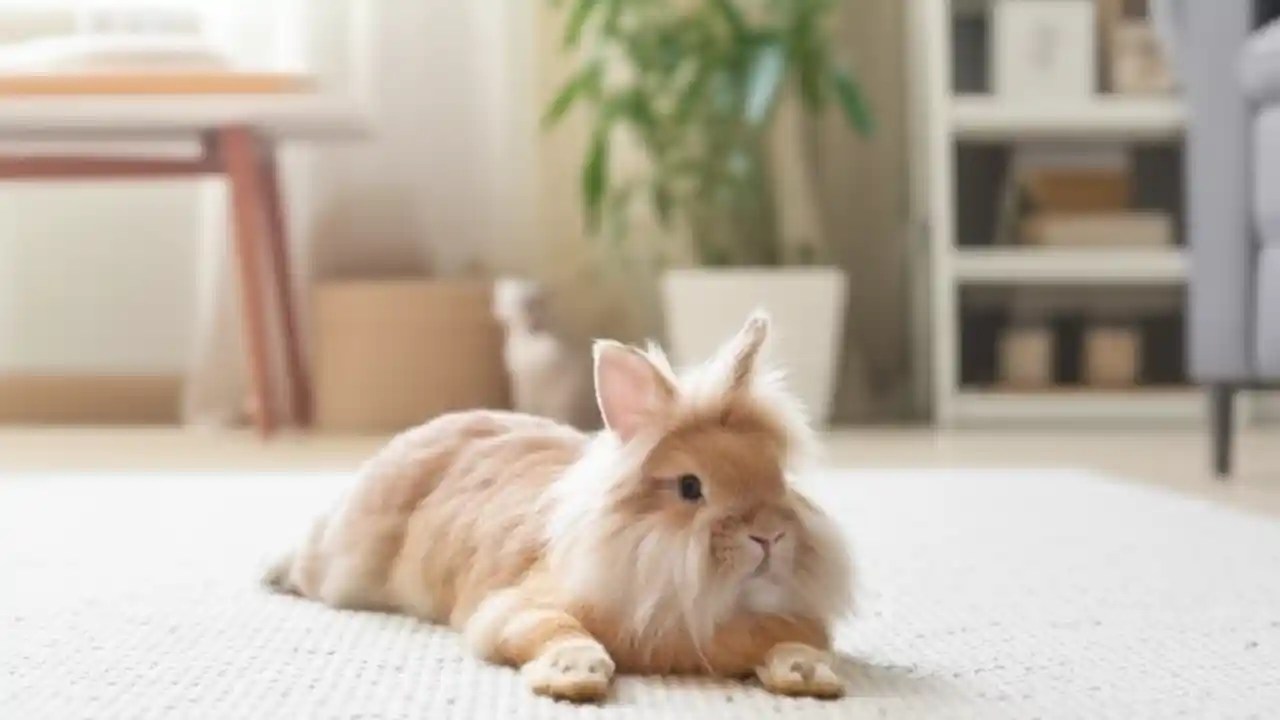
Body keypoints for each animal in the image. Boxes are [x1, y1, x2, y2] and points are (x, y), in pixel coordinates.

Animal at [263, 313, 854, 702]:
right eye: (690, 488)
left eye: (778, 476)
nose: (770, 536)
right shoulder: (520, 609)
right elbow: (557, 630)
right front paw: (575, 675)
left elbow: (791, 644)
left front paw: (806, 676)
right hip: (345, 565)